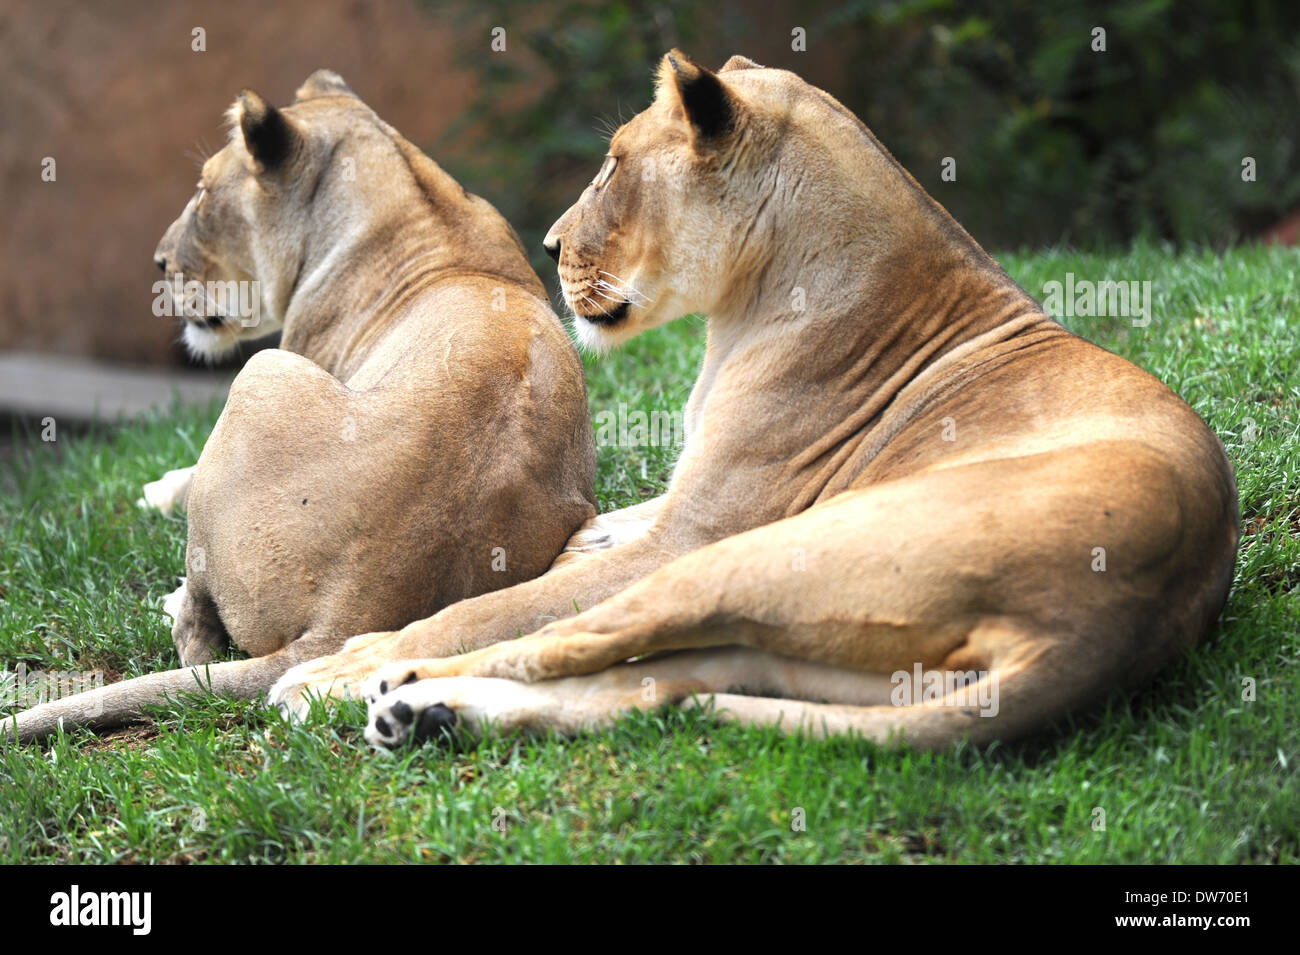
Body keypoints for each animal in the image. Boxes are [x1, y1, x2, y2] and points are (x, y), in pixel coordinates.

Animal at [6, 70, 595, 742]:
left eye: (204, 191)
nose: (159, 261)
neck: (414, 197)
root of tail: (345, 618)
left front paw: (160, 491)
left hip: (263, 373)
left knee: (196, 632)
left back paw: (173, 599)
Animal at [263, 52, 1239, 752]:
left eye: (614, 164)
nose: (547, 244)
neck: (739, 311)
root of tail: (1113, 627)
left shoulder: (697, 529)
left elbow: (507, 603)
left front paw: (353, 664)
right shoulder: (684, 506)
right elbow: (609, 535)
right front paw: (588, 530)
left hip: (750, 557)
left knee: (560, 640)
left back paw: (360, 684)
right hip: (807, 645)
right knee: (654, 688)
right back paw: (429, 715)